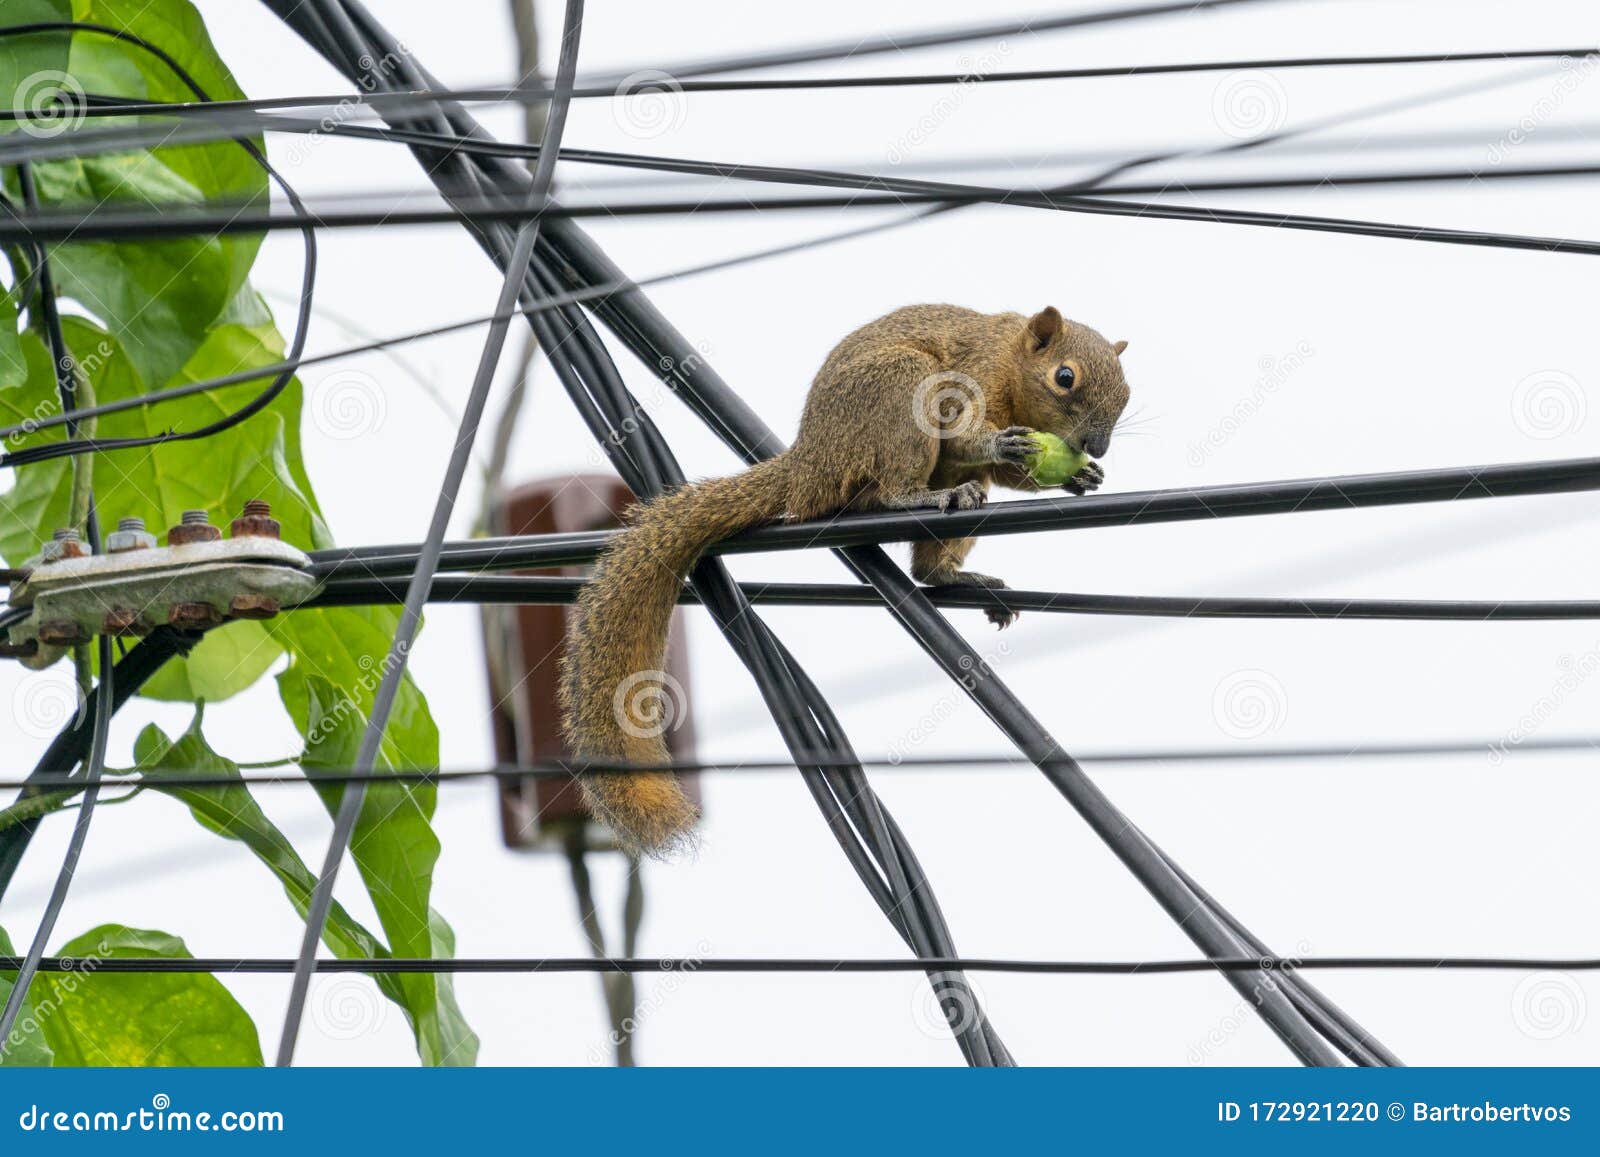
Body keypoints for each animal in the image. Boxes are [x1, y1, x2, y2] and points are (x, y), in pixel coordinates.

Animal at [559, 304, 1131, 854]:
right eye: (1064, 377)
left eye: (1126, 394)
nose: (1098, 446)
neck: (1011, 361)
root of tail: (807, 465)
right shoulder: (972, 377)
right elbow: (964, 435)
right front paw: (1004, 444)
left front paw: (1081, 475)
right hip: (900, 388)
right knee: (891, 487)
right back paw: (922, 498)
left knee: (926, 565)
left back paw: (964, 578)